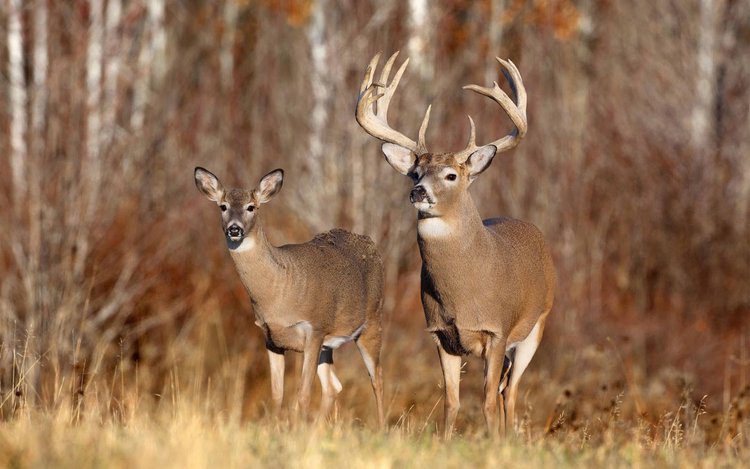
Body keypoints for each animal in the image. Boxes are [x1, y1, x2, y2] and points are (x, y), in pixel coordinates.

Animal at [194, 167, 385, 426]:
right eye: (223, 206)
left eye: (251, 207)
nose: (234, 229)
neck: (279, 293)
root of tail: (371, 243)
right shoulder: (271, 338)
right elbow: (277, 394)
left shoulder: (314, 329)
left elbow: (302, 394)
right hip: (328, 344)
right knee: (333, 386)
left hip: (372, 321)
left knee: (377, 379)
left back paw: (383, 428)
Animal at [355, 52, 555, 438]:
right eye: (415, 173)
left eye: (451, 175)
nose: (418, 192)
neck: (462, 295)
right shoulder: (440, 335)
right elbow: (452, 402)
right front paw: (447, 442)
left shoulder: (497, 330)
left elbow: (488, 401)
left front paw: (494, 442)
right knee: (507, 389)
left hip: (536, 326)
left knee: (510, 392)